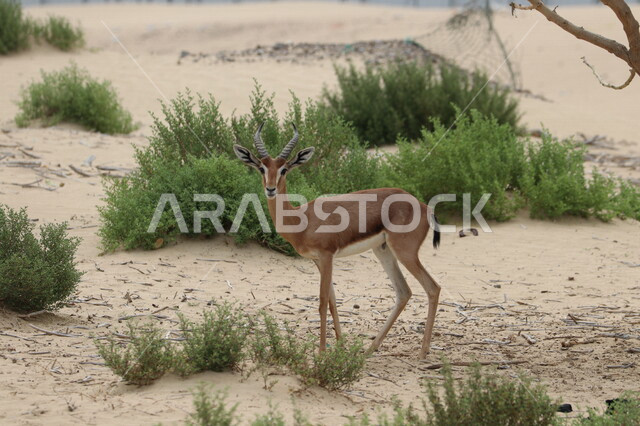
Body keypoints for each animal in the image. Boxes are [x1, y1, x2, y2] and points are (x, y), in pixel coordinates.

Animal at [233, 123, 442, 359]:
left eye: (284, 169)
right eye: (262, 168)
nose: (270, 189)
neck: (301, 219)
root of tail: (424, 206)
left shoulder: (327, 256)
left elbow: (323, 301)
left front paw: (322, 351)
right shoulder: (317, 261)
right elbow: (333, 301)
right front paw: (341, 346)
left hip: (405, 253)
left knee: (433, 288)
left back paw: (423, 352)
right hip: (383, 251)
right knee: (404, 292)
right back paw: (370, 348)